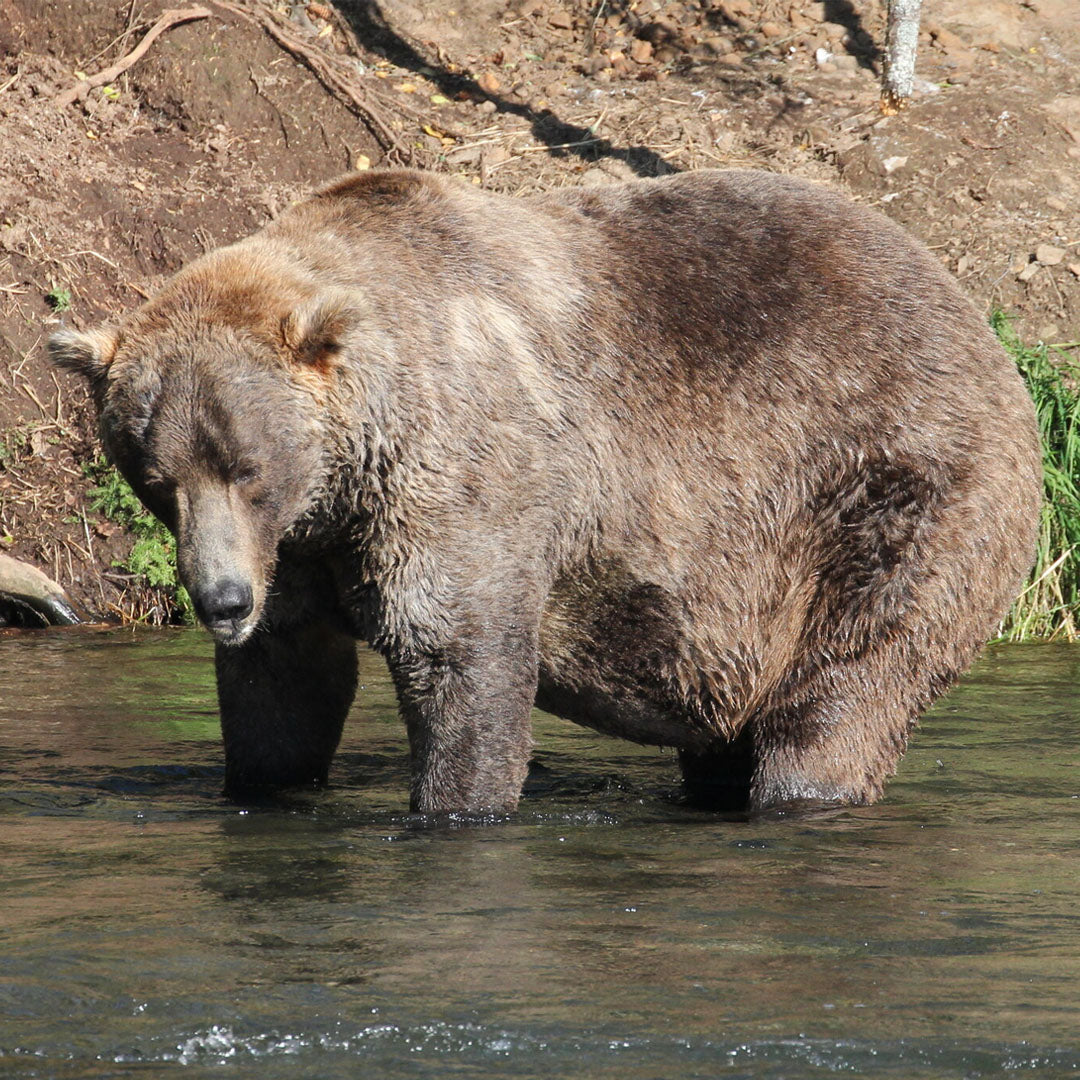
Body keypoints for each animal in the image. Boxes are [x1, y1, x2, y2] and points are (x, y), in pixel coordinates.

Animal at [51, 168, 1041, 813]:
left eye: (248, 468)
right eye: (157, 478)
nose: (221, 600)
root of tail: (976, 319)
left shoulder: (464, 480)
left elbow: (461, 657)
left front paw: (456, 803)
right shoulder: (304, 550)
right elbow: (285, 687)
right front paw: (266, 781)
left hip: (888, 489)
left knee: (847, 685)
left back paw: (803, 788)